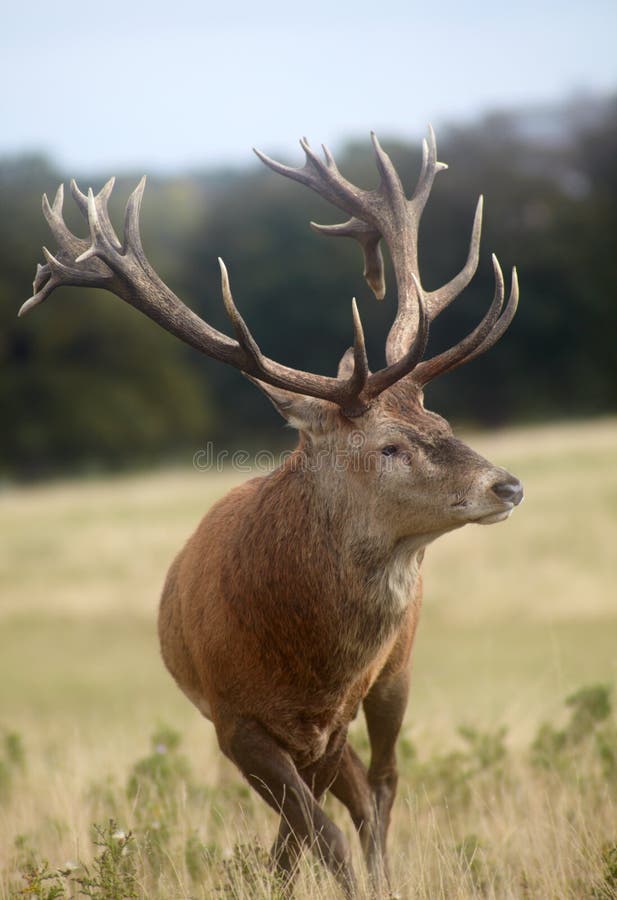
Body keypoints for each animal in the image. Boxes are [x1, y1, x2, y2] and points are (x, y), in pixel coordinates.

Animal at [20, 128, 523, 897]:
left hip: (398, 672)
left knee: (383, 783)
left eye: (438, 418)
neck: (300, 661)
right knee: (358, 796)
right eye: (389, 444)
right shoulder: (233, 720)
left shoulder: (332, 719)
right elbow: (306, 837)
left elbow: (314, 827)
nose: (506, 485)